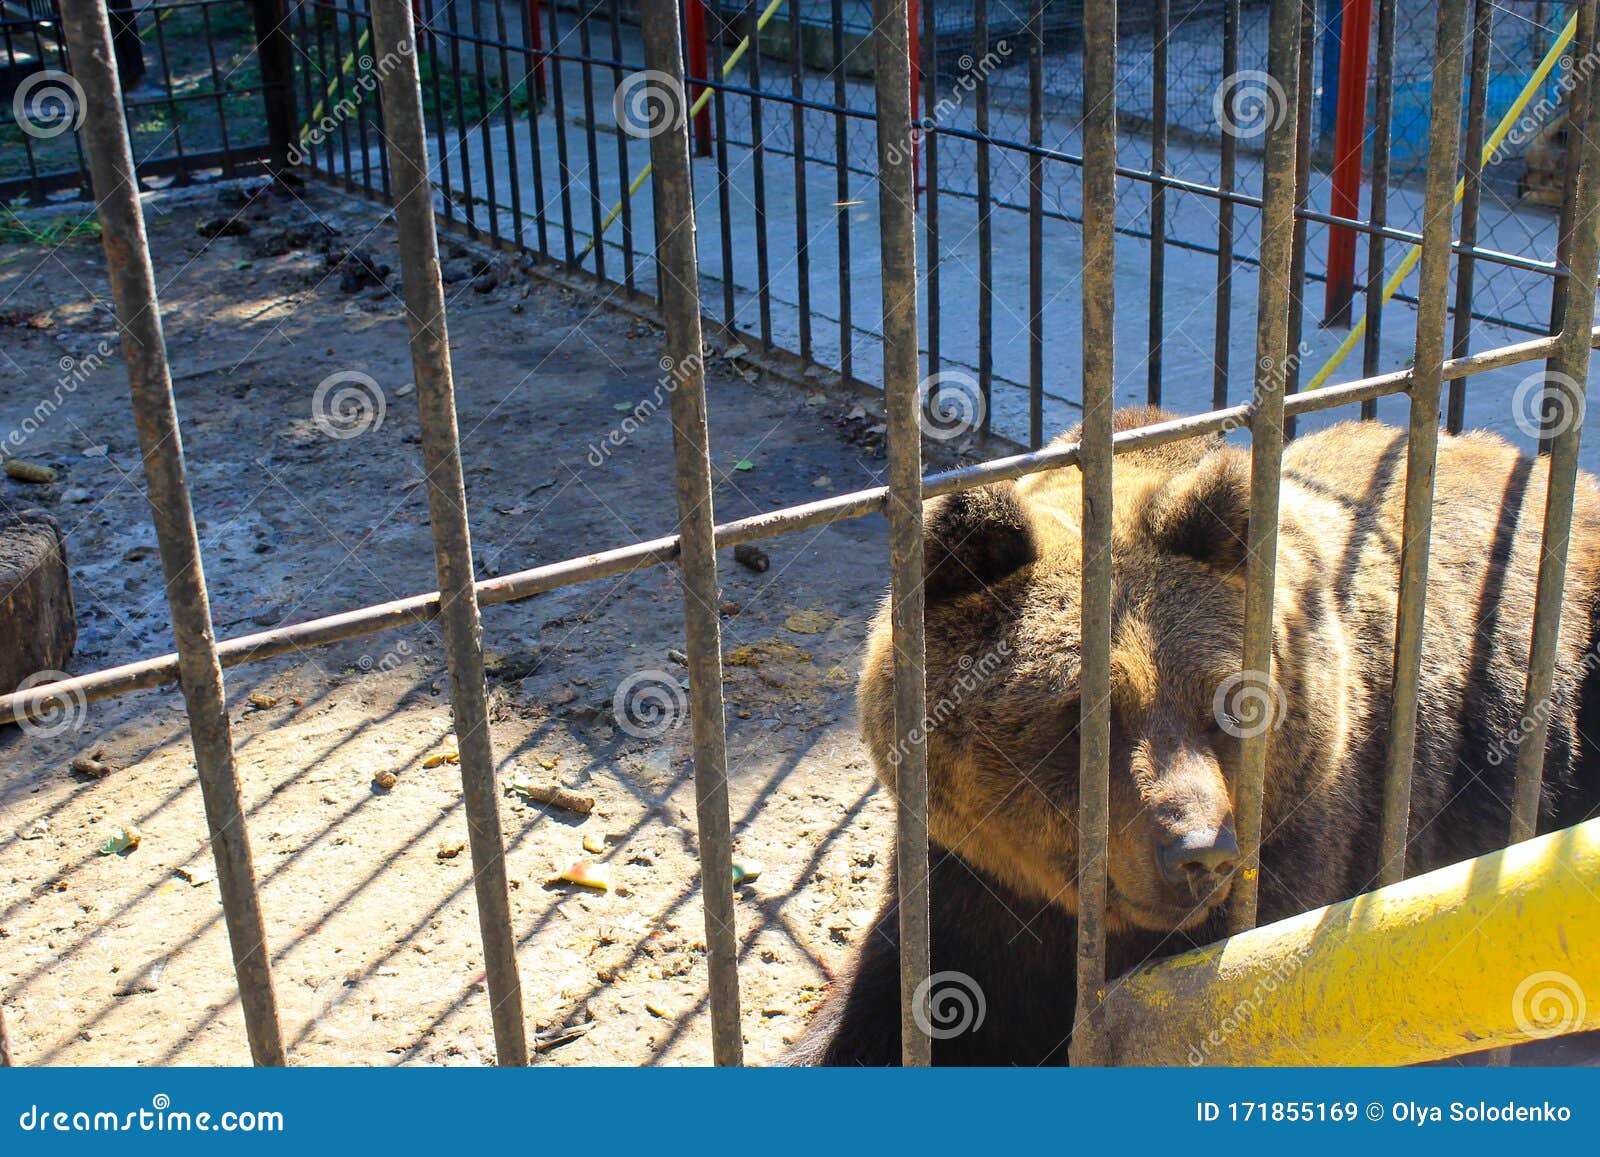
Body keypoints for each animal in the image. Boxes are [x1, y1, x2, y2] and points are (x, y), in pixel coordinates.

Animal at [787, 406, 1600, 1065]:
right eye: (1080, 713)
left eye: (1230, 705)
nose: (1200, 852)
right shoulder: (967, 874)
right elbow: (889, 1010)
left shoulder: (1298, 853)